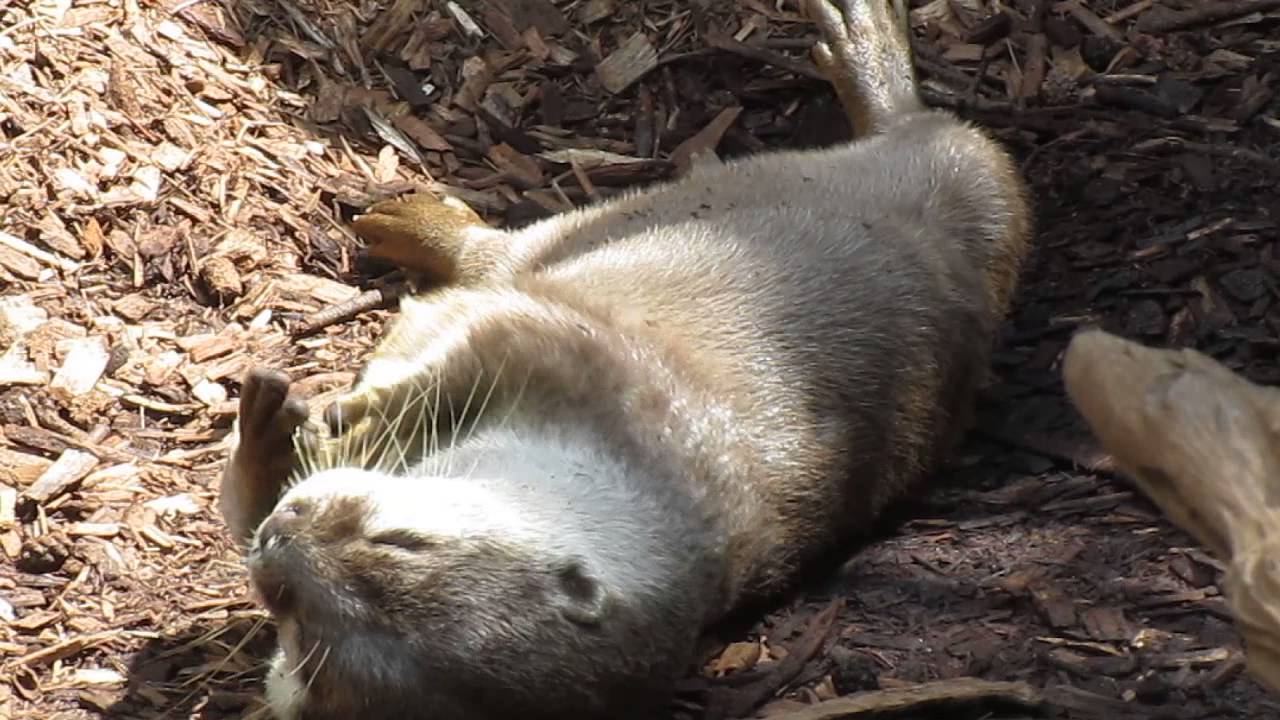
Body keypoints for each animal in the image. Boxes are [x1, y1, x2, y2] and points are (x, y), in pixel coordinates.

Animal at [219, 1, 1032, 718]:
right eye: (402, 539)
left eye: (309, 637)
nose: (285, 537)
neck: (639, 449)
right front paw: (331, 421)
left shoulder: (568, 341)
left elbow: (473, 327)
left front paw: (290, 437)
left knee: (495, 253)